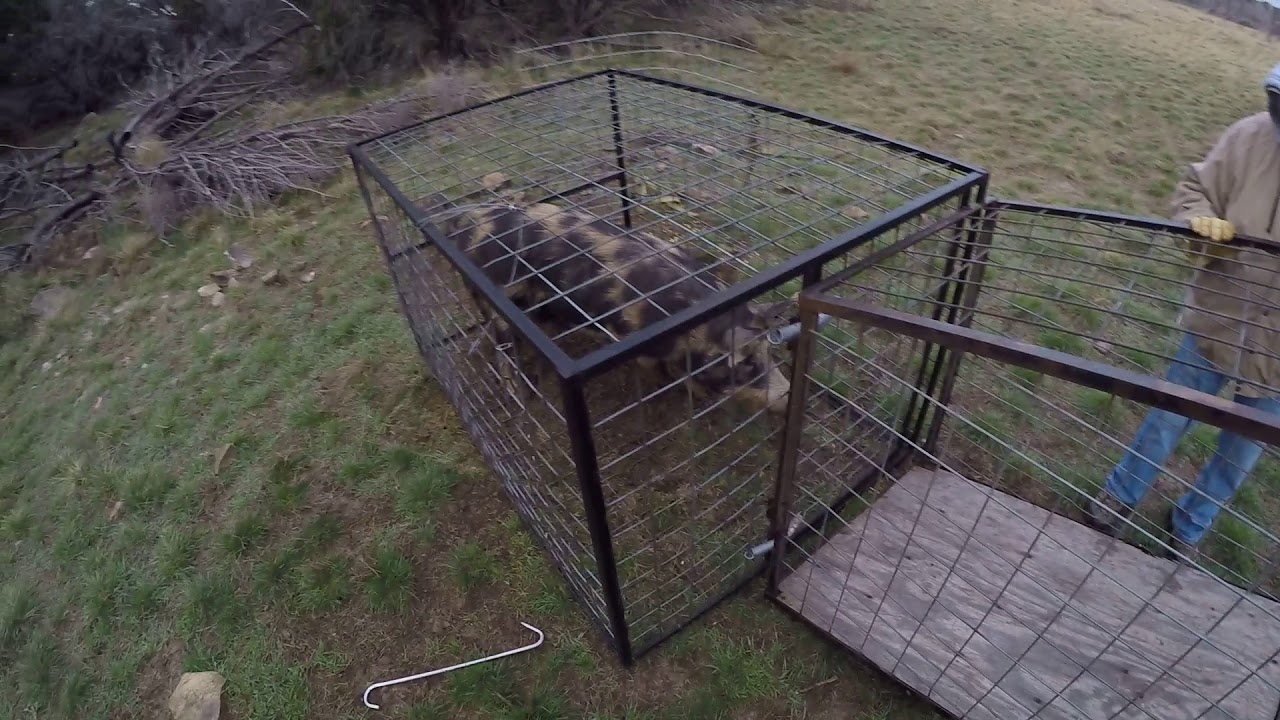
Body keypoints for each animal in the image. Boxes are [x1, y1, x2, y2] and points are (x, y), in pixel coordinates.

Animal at [433, 199, 795, 415]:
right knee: (503, 347)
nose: (787, 393)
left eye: (770, 351)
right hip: (496, 301)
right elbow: (664, 370)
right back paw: (519, 393)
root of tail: (465, 221)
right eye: (746, 364)